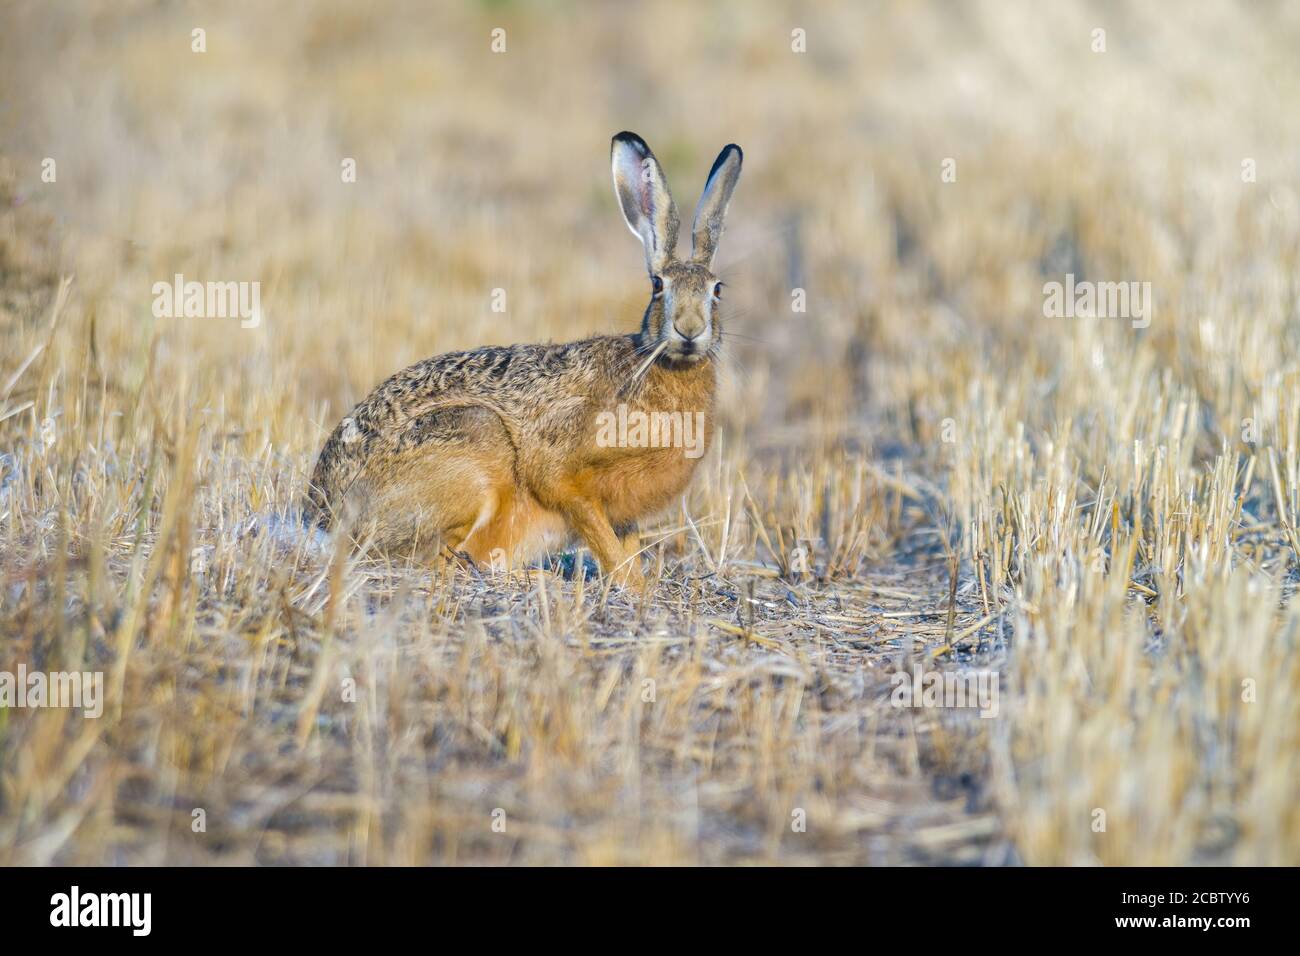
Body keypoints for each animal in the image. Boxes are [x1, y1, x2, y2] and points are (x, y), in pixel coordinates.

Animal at [304, 132, 743, 585]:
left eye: (717, 290)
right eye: (658, 286)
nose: (689, 329)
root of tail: (324, 520)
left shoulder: (624, 510)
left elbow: (627, 548)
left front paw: (640, 588)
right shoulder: (564, 476)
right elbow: (599, 537)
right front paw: (628, 586)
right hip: (475, 442)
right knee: (427, 562)